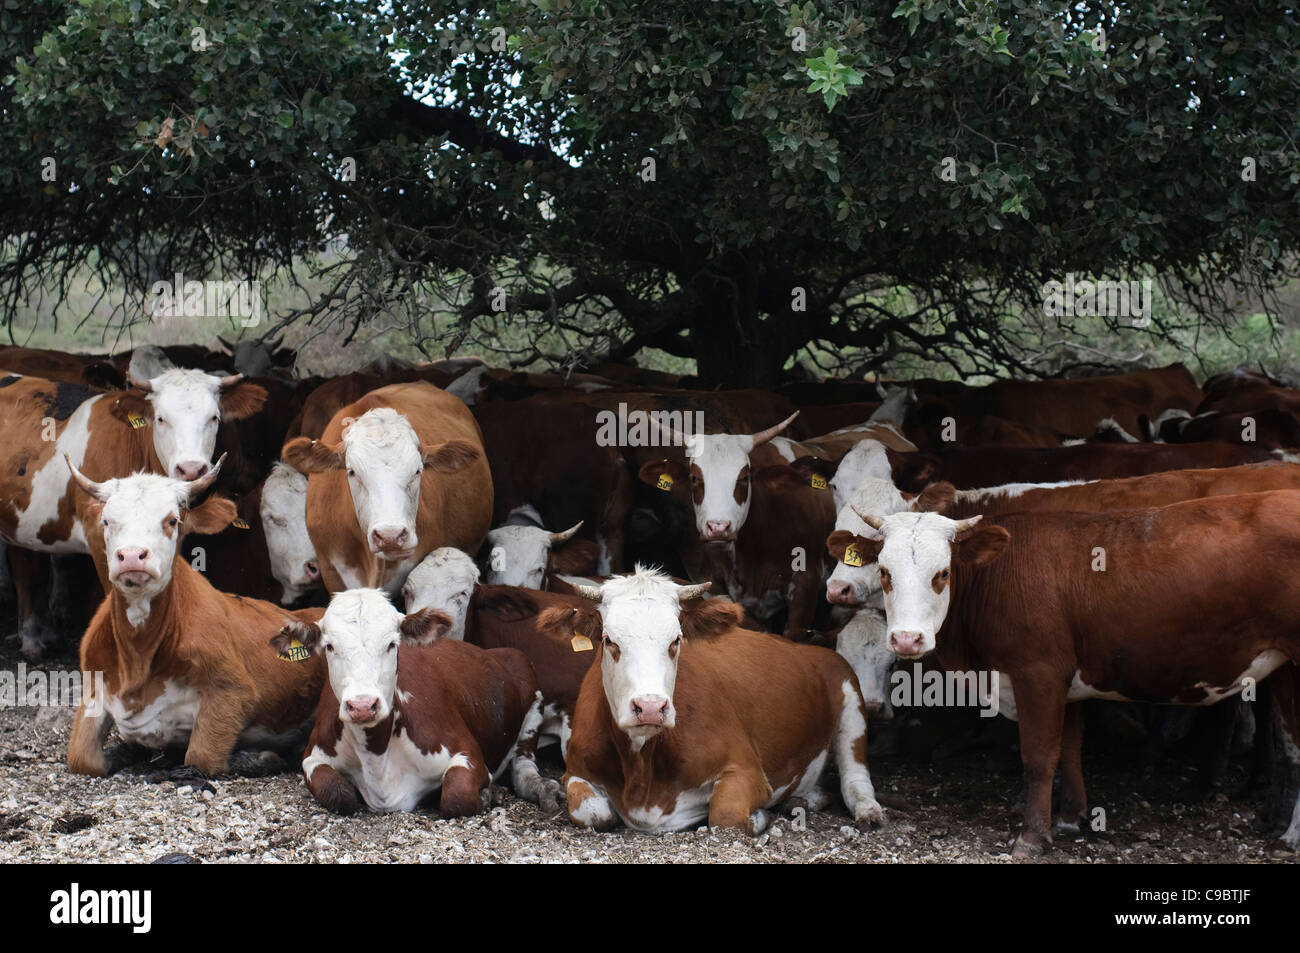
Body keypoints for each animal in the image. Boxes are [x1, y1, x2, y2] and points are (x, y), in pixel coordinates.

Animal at [64, 460, 326, 779]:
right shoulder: (94, 687)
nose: (132, 556)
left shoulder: (232, 689)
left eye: (172, 520)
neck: (138, 655)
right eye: (106, 521)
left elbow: (201, 758)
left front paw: (255, 758)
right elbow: (82, 759)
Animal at [271, 588, 562, 816]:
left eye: (392, 644)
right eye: (330, 646)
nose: (363, 706)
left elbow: (456, 796)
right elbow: (339, 793)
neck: (377, 758)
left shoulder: (466, 751)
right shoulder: (313, 755)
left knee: (524, 767)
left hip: (529, 690)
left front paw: (485, 794)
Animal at [560, 567, 885, 834]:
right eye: (609, 640)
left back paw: (867, 811)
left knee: (855, 776)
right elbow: (592, 813)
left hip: (849, 694)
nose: (650, 708)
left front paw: (758, 817)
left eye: (676, 640)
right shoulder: (574, 770)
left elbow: (726, 814)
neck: (641, 768)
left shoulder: (747, 769)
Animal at [845, 492, 1300, 855]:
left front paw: (1031, 837)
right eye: (884, 572)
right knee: (1292, 745)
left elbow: (1039, 757)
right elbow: (1069, 748)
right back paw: (1281, 829)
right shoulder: (1066, 682)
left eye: (942, 573)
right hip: (1282, 664)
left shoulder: (1038, 674)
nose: (907, 640)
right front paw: (1068, 819)